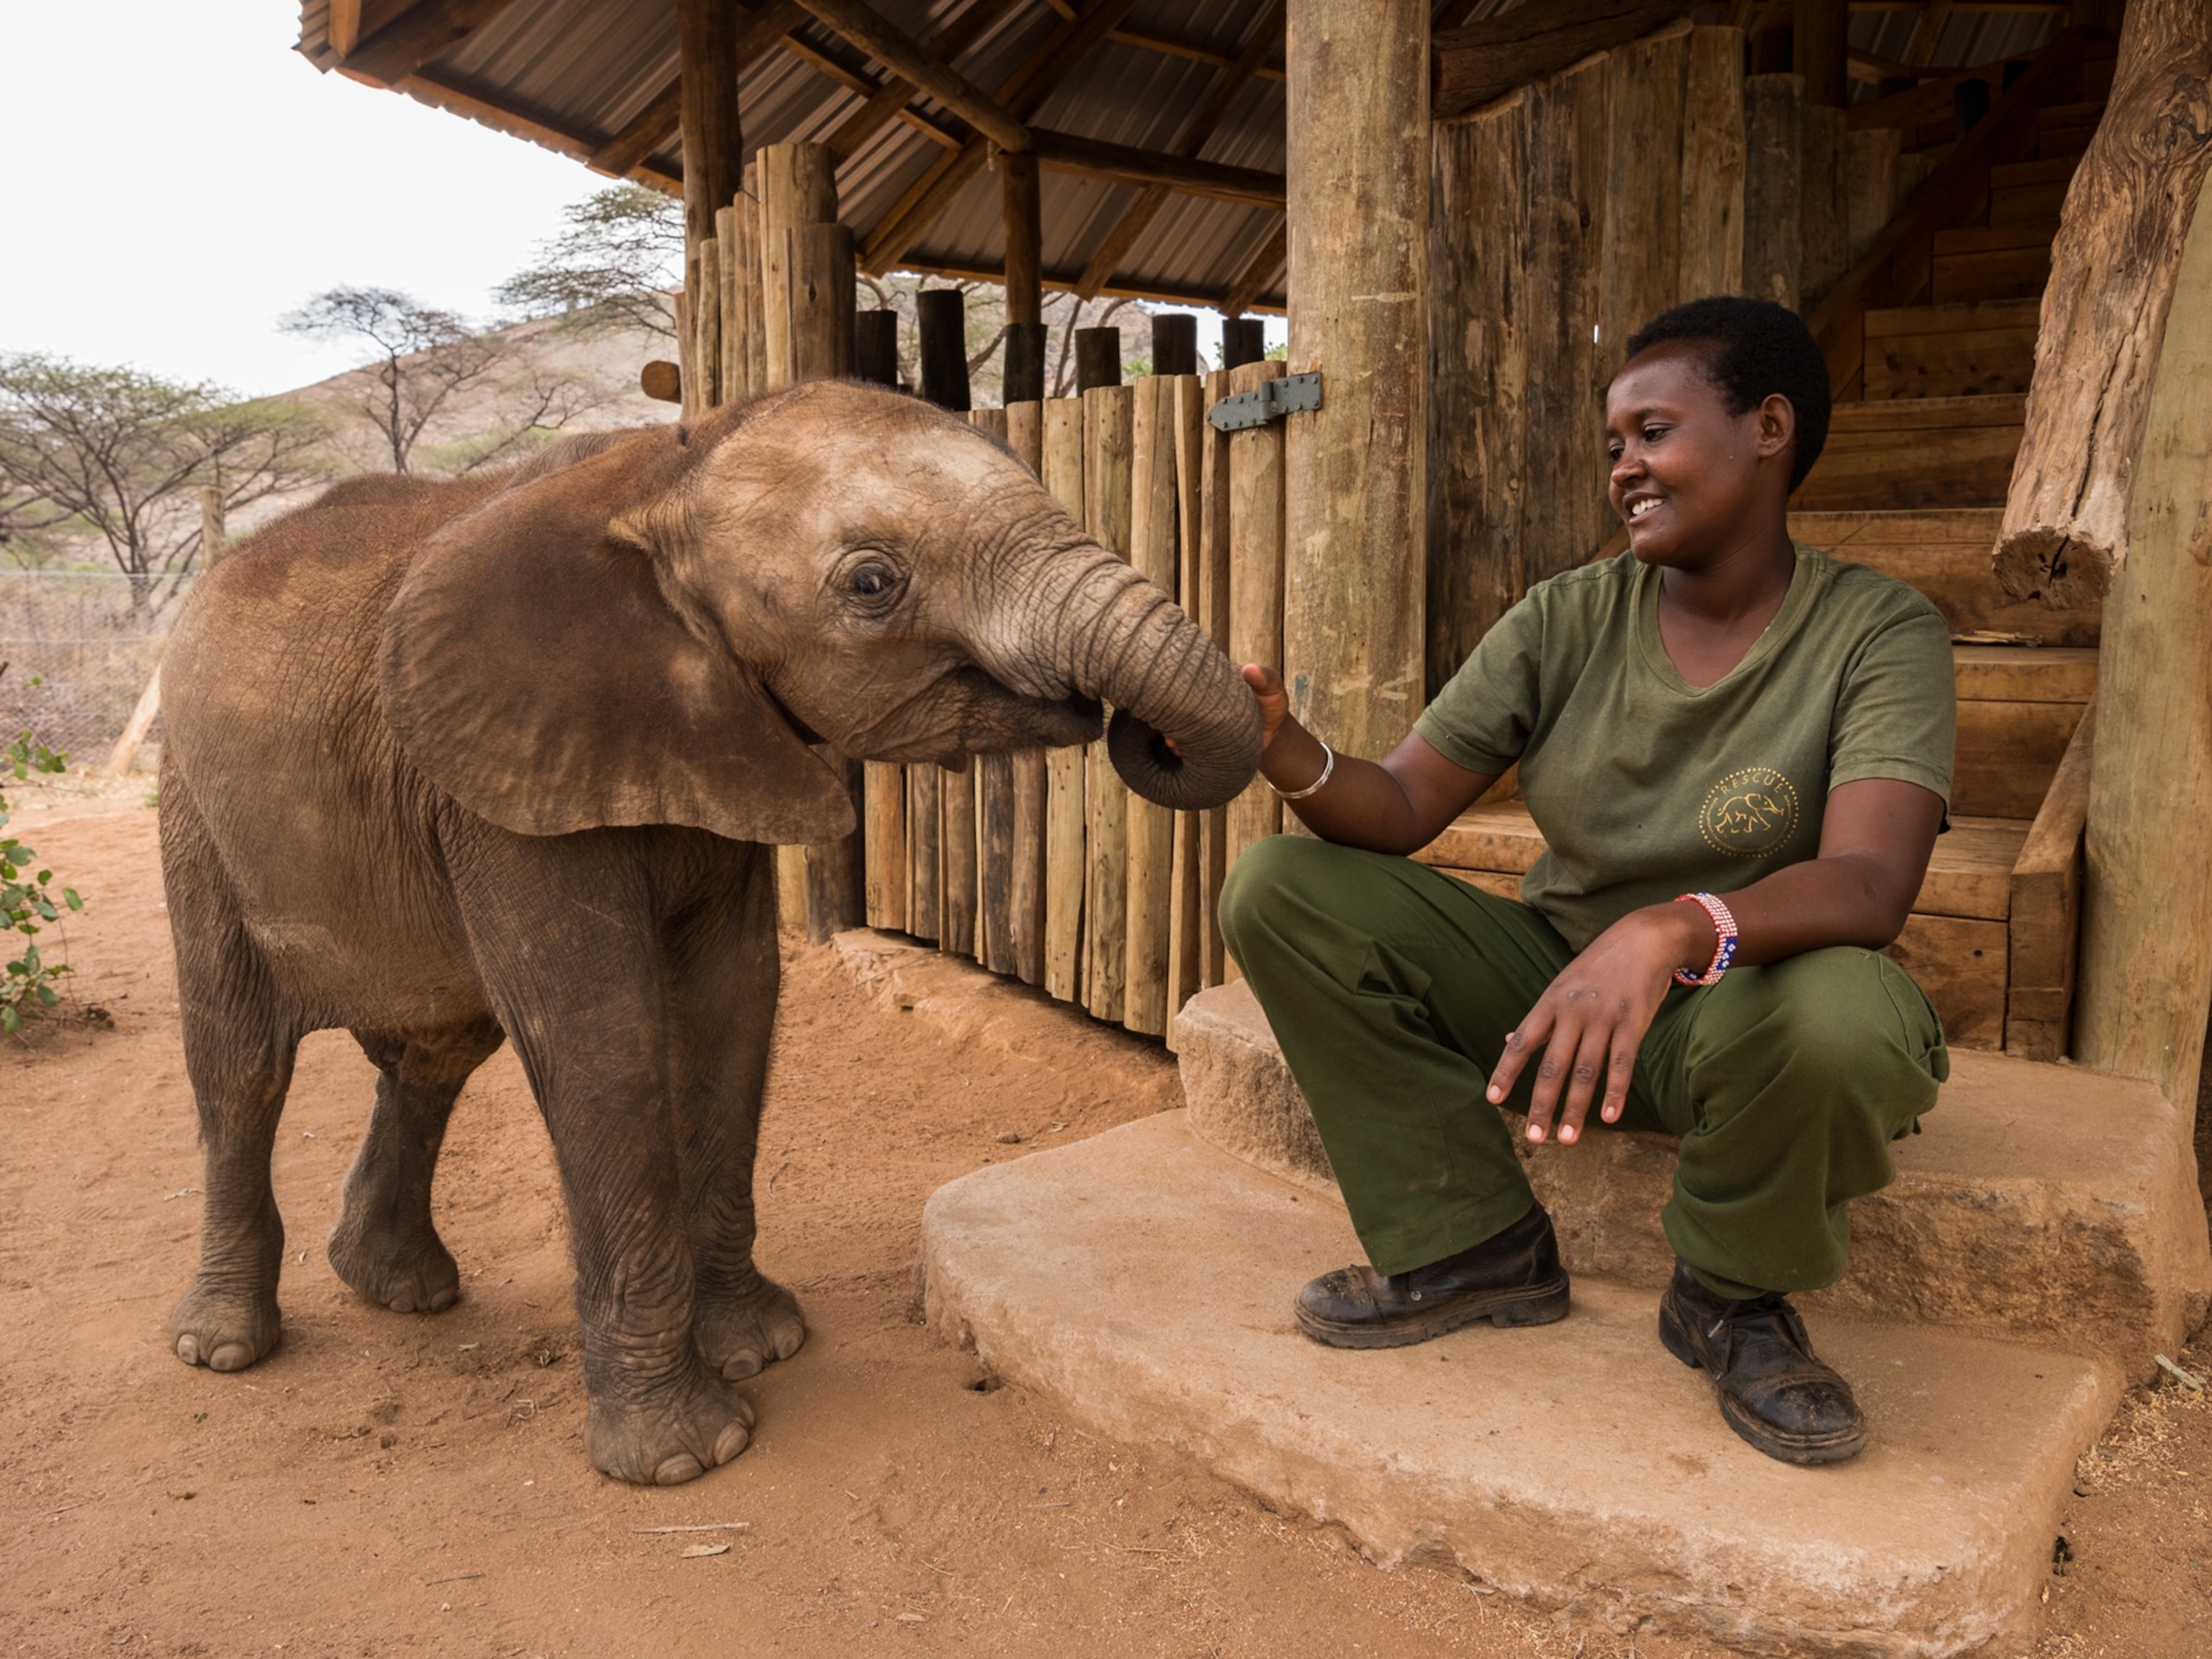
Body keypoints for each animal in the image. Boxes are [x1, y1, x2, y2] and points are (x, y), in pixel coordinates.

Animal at [157, 380, 1259, 1486]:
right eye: (872, 583)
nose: (1136, 726)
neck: (663, 473)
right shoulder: (510, 786)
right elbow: (603, 1036)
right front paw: (687, 1455)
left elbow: (733, 1003)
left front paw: (764, 1347)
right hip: (192, 810)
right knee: (241, 1065)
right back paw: (222, 1347)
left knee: (437, 1053)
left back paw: (396, 1288)